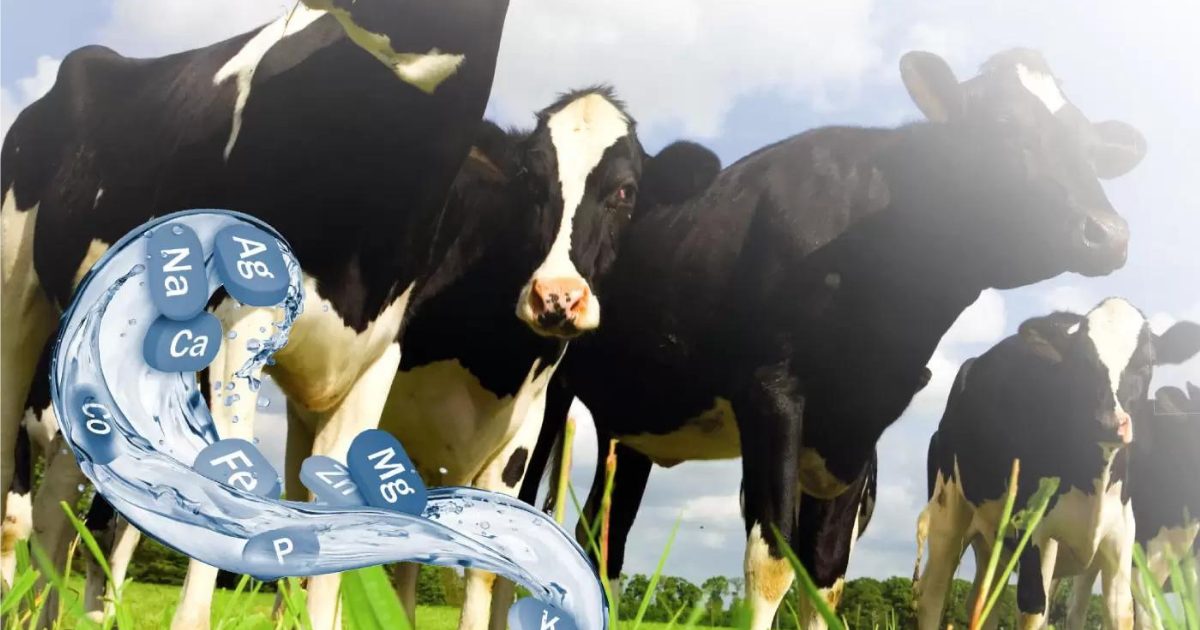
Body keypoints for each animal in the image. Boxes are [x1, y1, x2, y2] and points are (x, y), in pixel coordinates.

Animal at [520, 47, 1148, 630]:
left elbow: (824, 573)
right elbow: (772, 562)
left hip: (634, 429)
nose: (1110, 233)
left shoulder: (859, 426)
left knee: (602, 542)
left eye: (1091, 147)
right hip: (551, 385)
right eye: (1003, 126)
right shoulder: (771, 391)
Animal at [914, 300, 1200, 630]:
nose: (1108, 423)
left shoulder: (1123, 540)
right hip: (948, 514)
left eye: (1148, 362)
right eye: (1081, 361)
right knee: (933, 594)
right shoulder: (1035, 532)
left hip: (994, 542)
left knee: (983, 602)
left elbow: (1123, 613)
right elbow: (1034, 610)